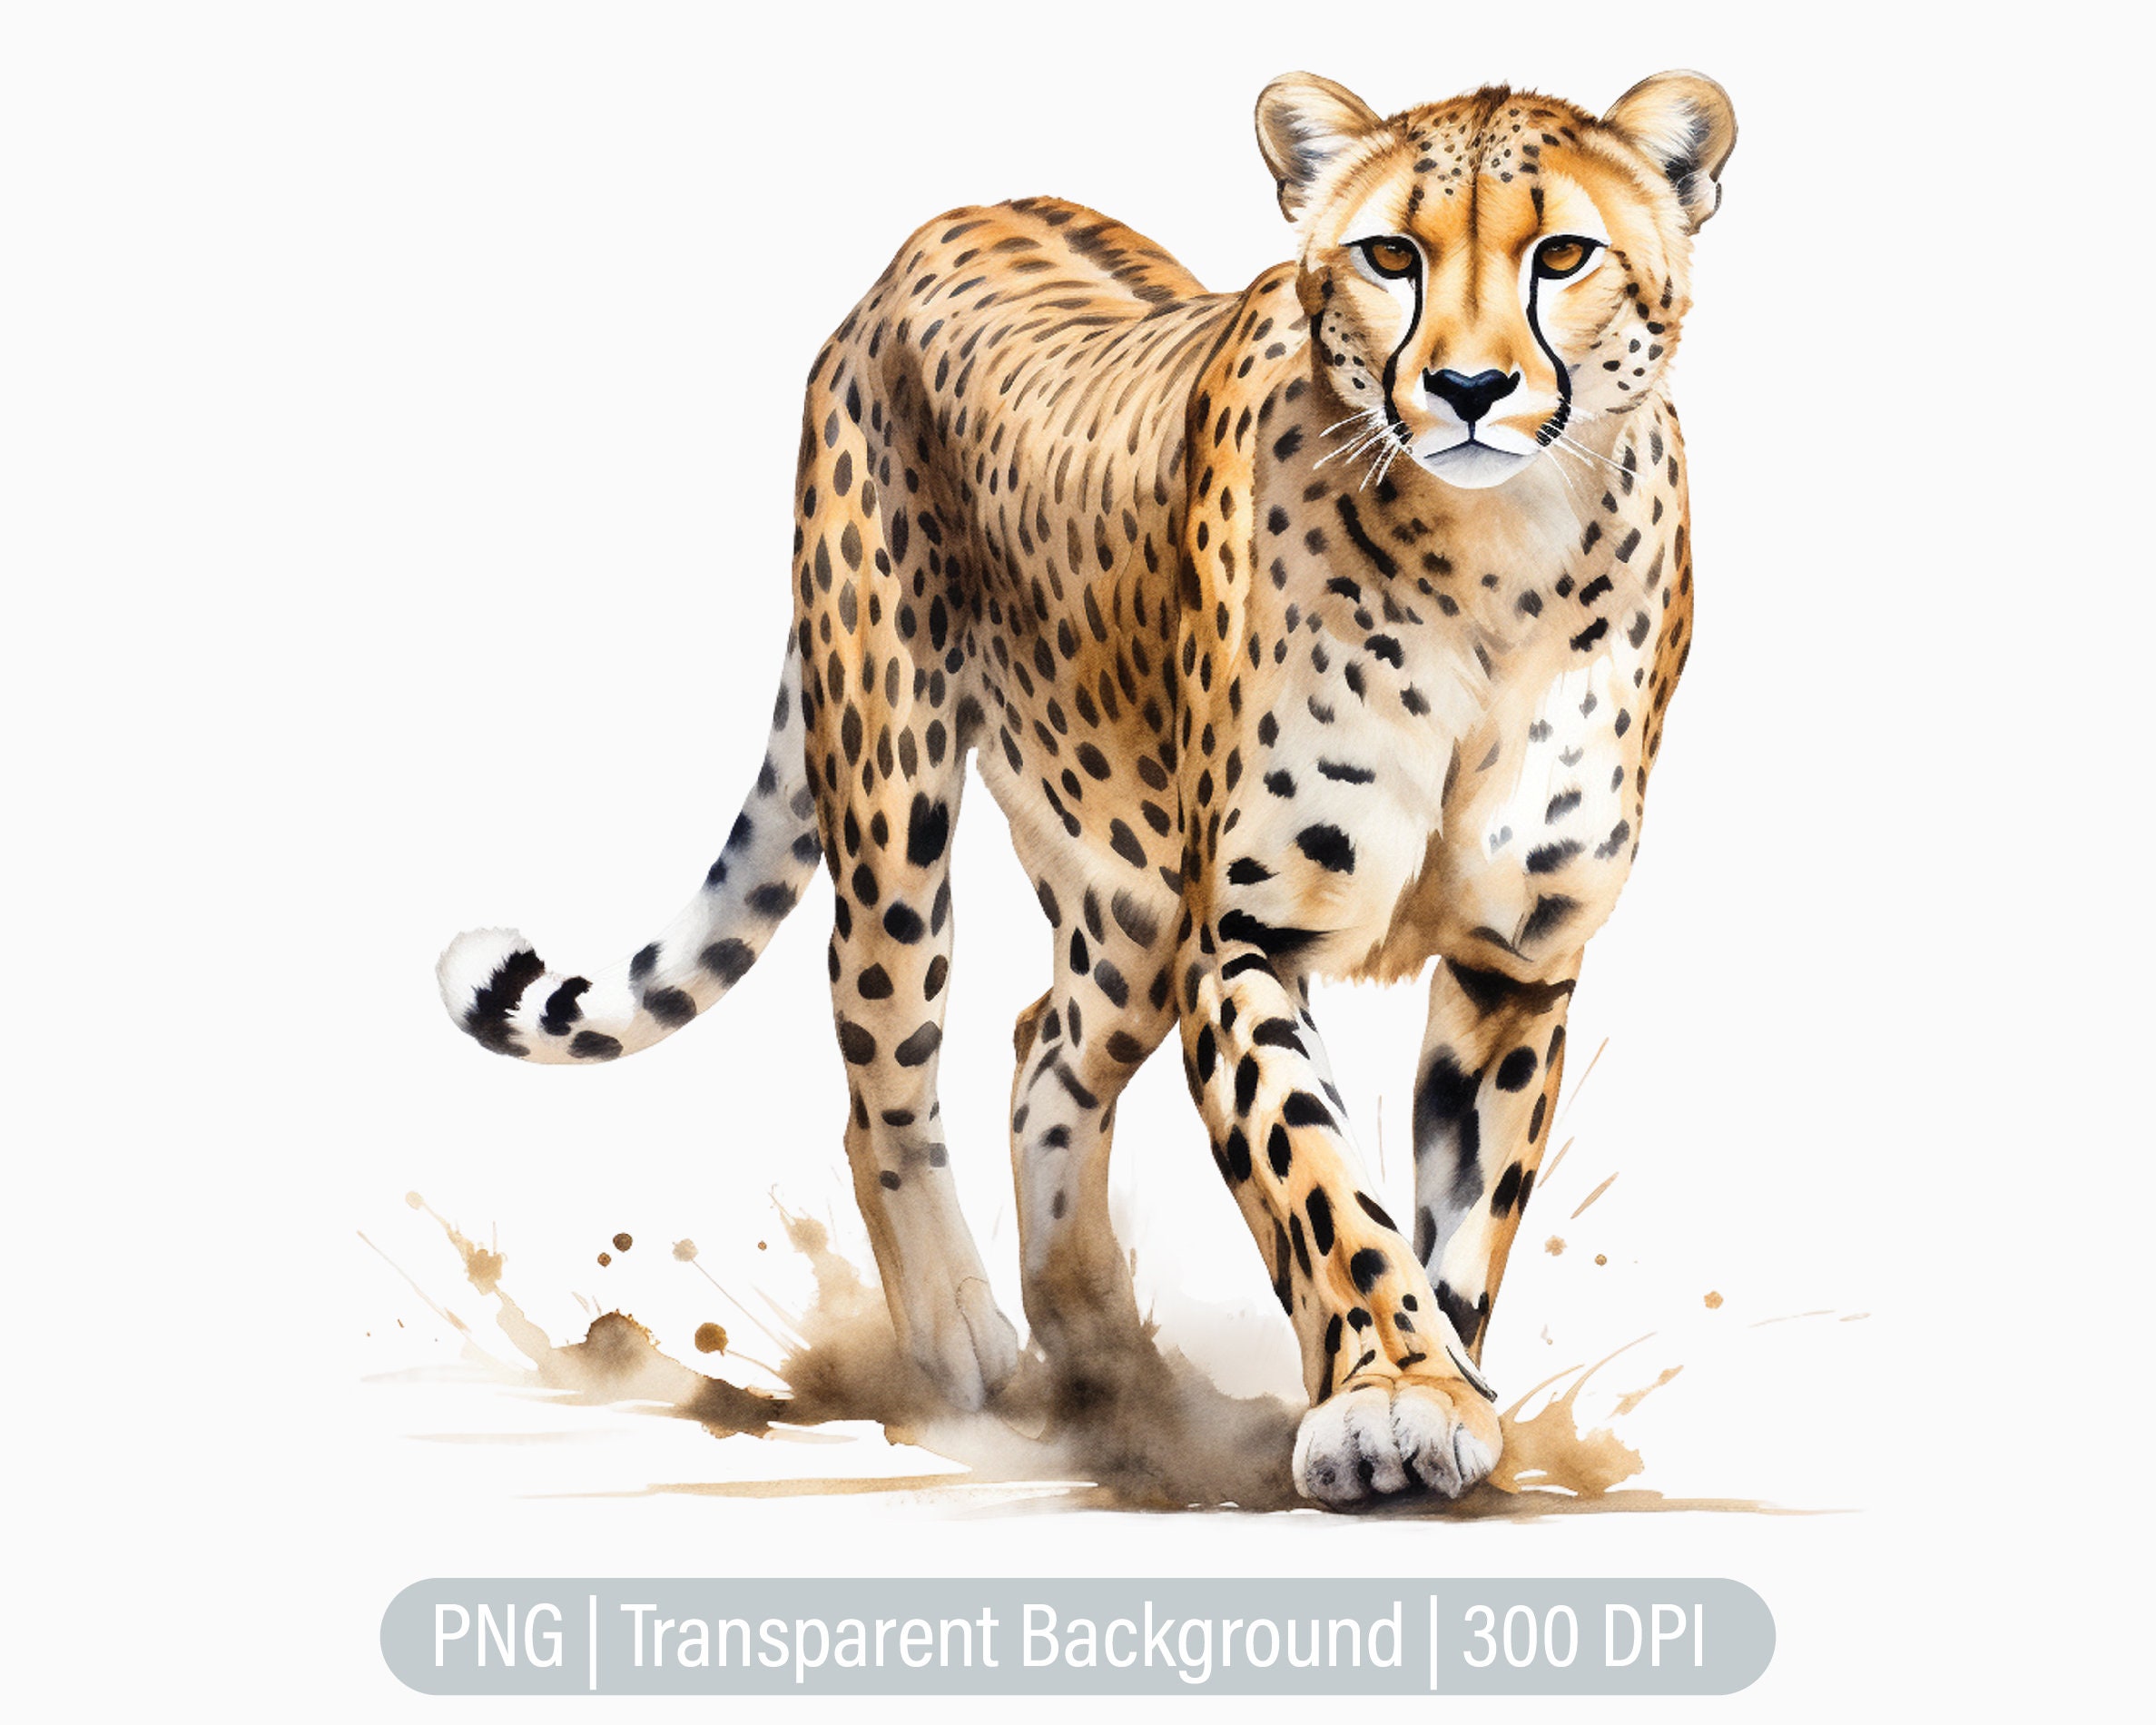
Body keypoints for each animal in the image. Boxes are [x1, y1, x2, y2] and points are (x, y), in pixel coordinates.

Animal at [437, 69, 1737, 1508]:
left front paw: (1443, 1384)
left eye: (1560, 255)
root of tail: (958, 217)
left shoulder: (1516, 958)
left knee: (1042, 1055)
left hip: (1128, 907)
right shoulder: (1242, 940)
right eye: (1388, 256)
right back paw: (964, 1341)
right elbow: (1319, 1181)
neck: (1493, 559)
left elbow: (1466, 1209)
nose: (1462, 387)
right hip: (895, 795)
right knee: (886, 1068)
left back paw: (1107, 1358)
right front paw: (1387, 1393)